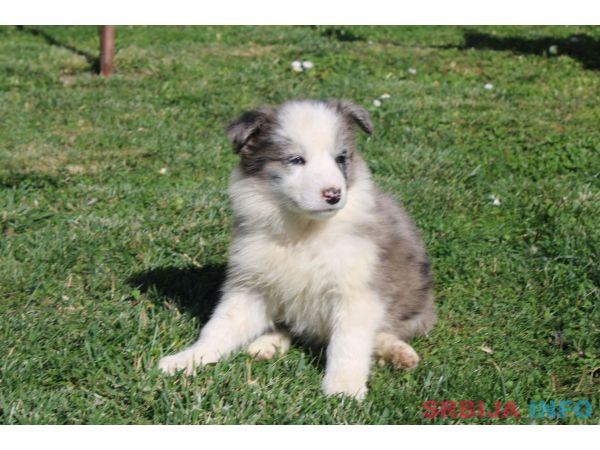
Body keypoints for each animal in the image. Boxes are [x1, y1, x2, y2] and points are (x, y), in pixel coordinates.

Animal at [157, 99, 434, 400]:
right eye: (296, 160)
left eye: (341, 158)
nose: (334, 194)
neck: (303, 230)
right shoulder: (251, 286)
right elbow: (219, 327)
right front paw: (187, 359)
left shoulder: (356, 291)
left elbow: (349, 343)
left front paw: (344, 389)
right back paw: (266, 344)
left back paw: (398, 353)